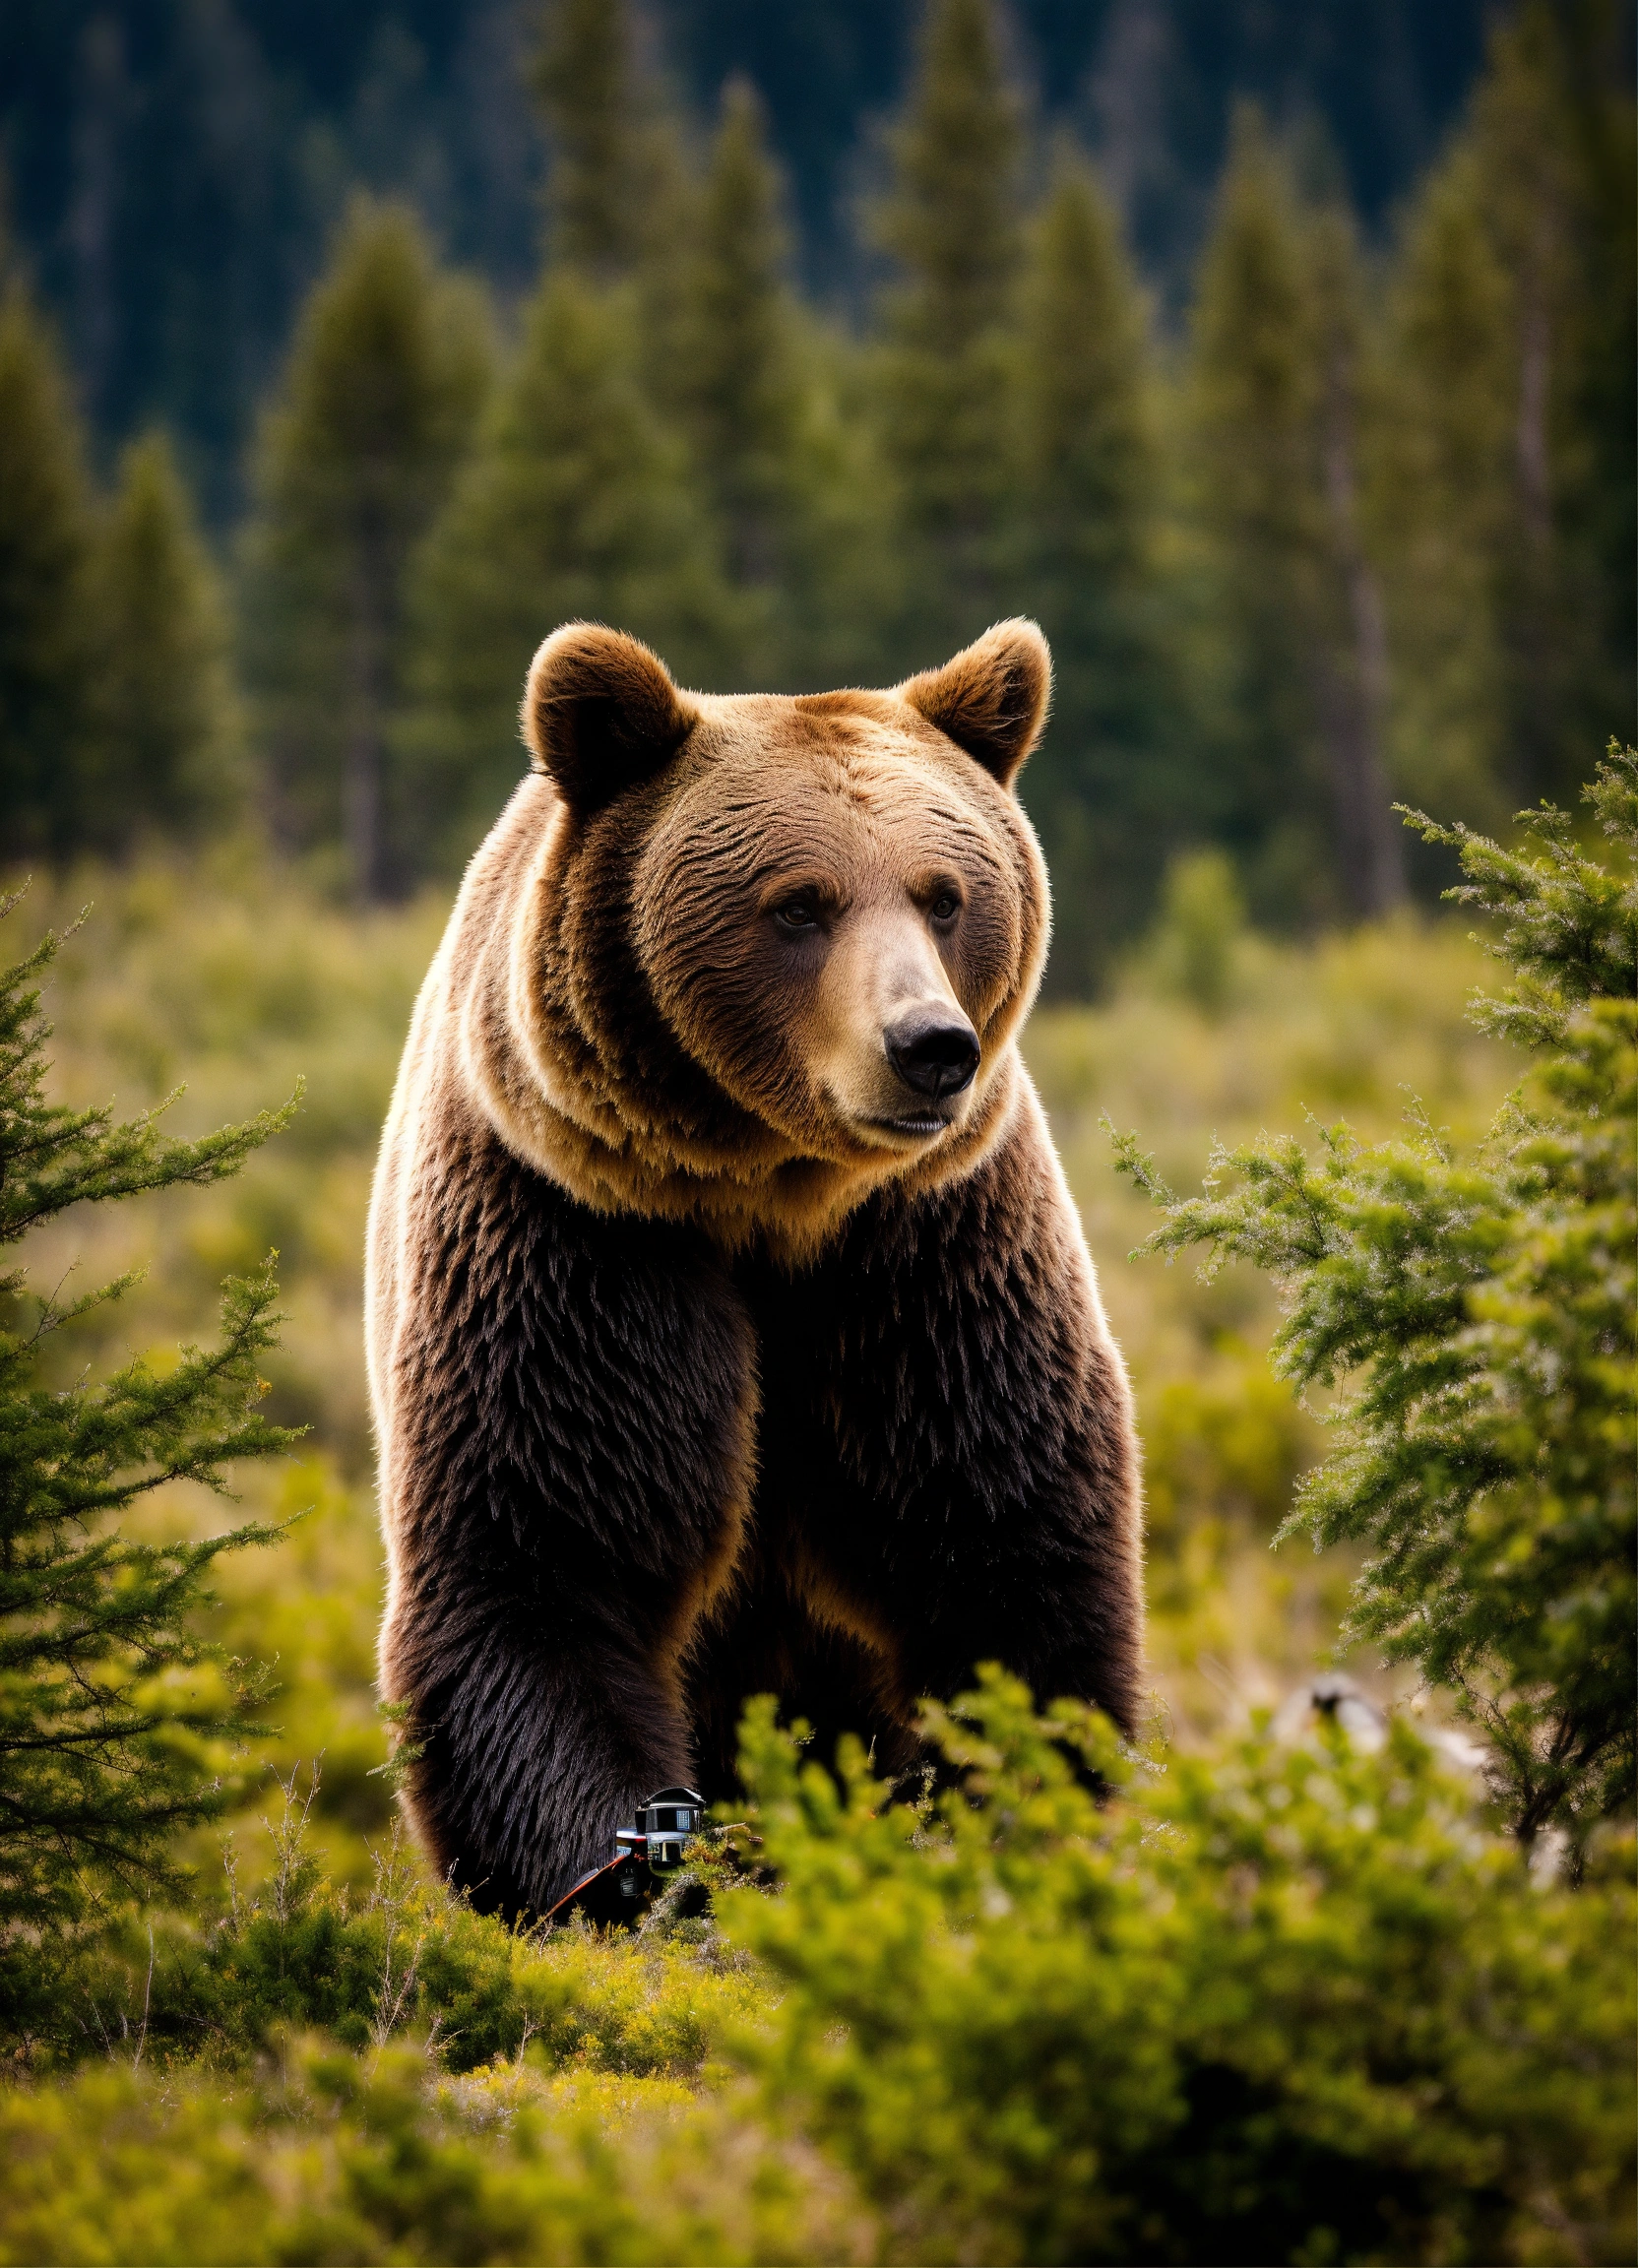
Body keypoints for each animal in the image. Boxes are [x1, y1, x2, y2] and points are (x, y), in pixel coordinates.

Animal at [366, 617, 1143, 1917]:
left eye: (945, 894)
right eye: (799, 904)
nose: (929, 1047)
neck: (772, 1197)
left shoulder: (926, 1255)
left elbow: (1004, 1550)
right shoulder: (577, 1235)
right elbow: (540, 1564)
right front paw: (642, 1880)